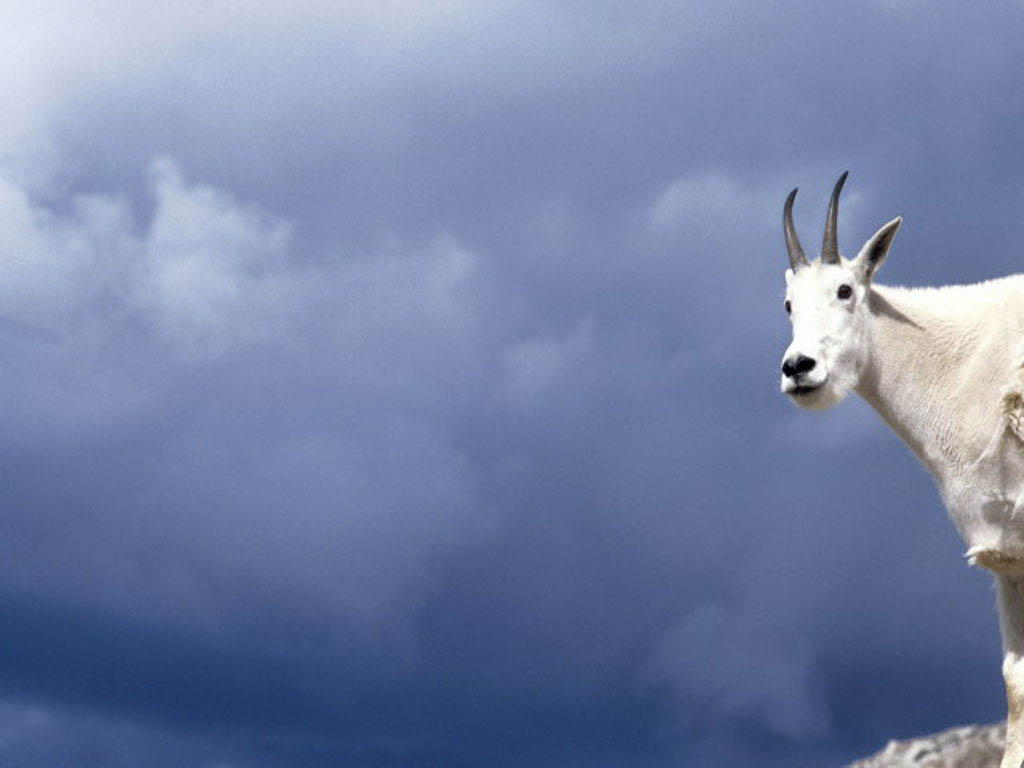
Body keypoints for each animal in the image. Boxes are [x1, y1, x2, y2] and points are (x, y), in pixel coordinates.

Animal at [780, 173, 1024, 768]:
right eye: (788, 304)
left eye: (846, 290)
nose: (798, 368)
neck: (964, 371)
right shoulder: (1007, 558)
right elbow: (1015, 685)